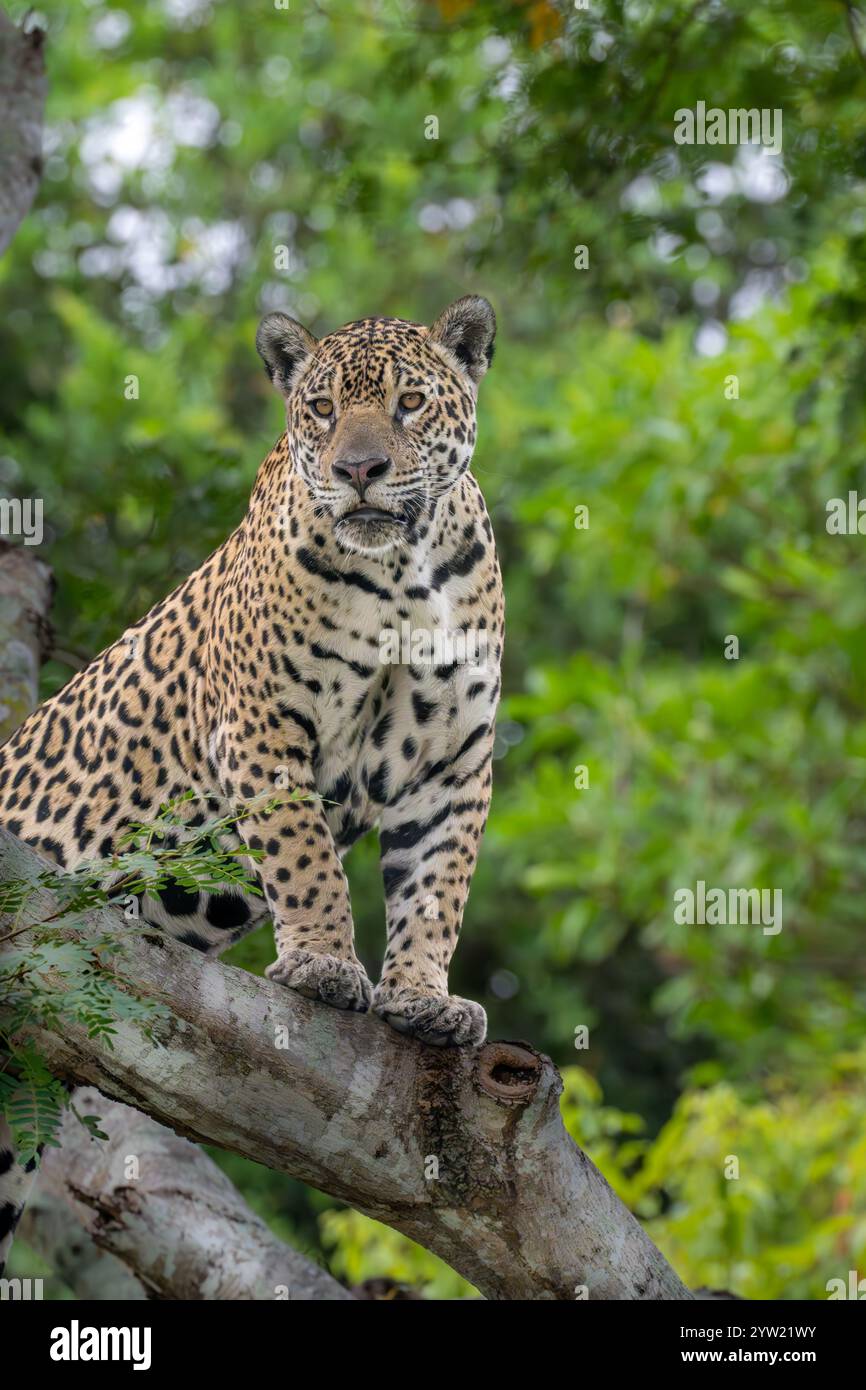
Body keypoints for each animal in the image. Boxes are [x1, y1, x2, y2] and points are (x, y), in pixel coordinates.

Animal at [0, 295, 503, 1274]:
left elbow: (436, 891)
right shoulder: (264, 728)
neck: (403, 574)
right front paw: (324, 965)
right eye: (322, 410)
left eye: (409, 404)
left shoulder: (453, 764)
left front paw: (424, 999)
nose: (359, 470)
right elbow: (307, 860)